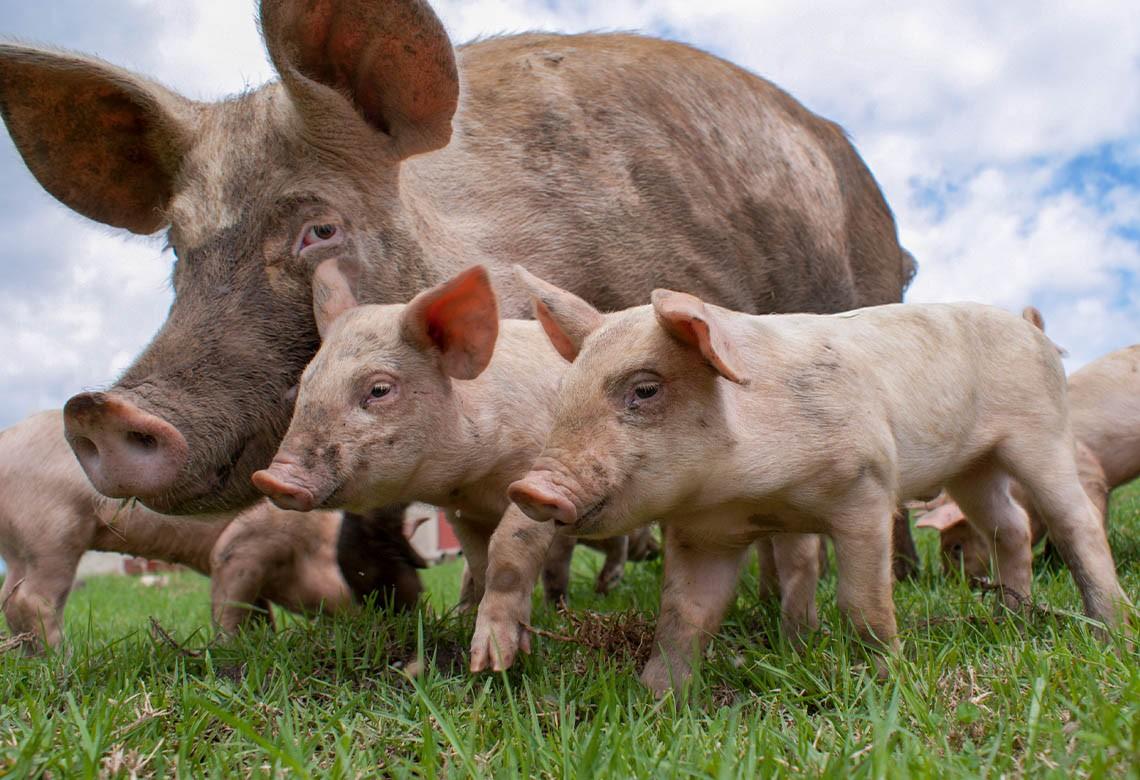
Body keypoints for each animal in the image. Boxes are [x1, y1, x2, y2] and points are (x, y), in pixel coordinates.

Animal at [0, 411, 351, 650]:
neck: (313, 542)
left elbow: (257, 610)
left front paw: (261, 638)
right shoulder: (243, 544)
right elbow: (230, 604)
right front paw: (231, 647)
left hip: (19, 547)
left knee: (9, 596)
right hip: (51, 529)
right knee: (32, 599)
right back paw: (61, 657)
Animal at [253, 263, 664, 607]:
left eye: (379, 389)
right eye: (301, 388)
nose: (273, 479)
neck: (474, 481)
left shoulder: (538, 475)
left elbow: (518, 547)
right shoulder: (462, 512)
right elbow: (479, 562)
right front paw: (466, 614)